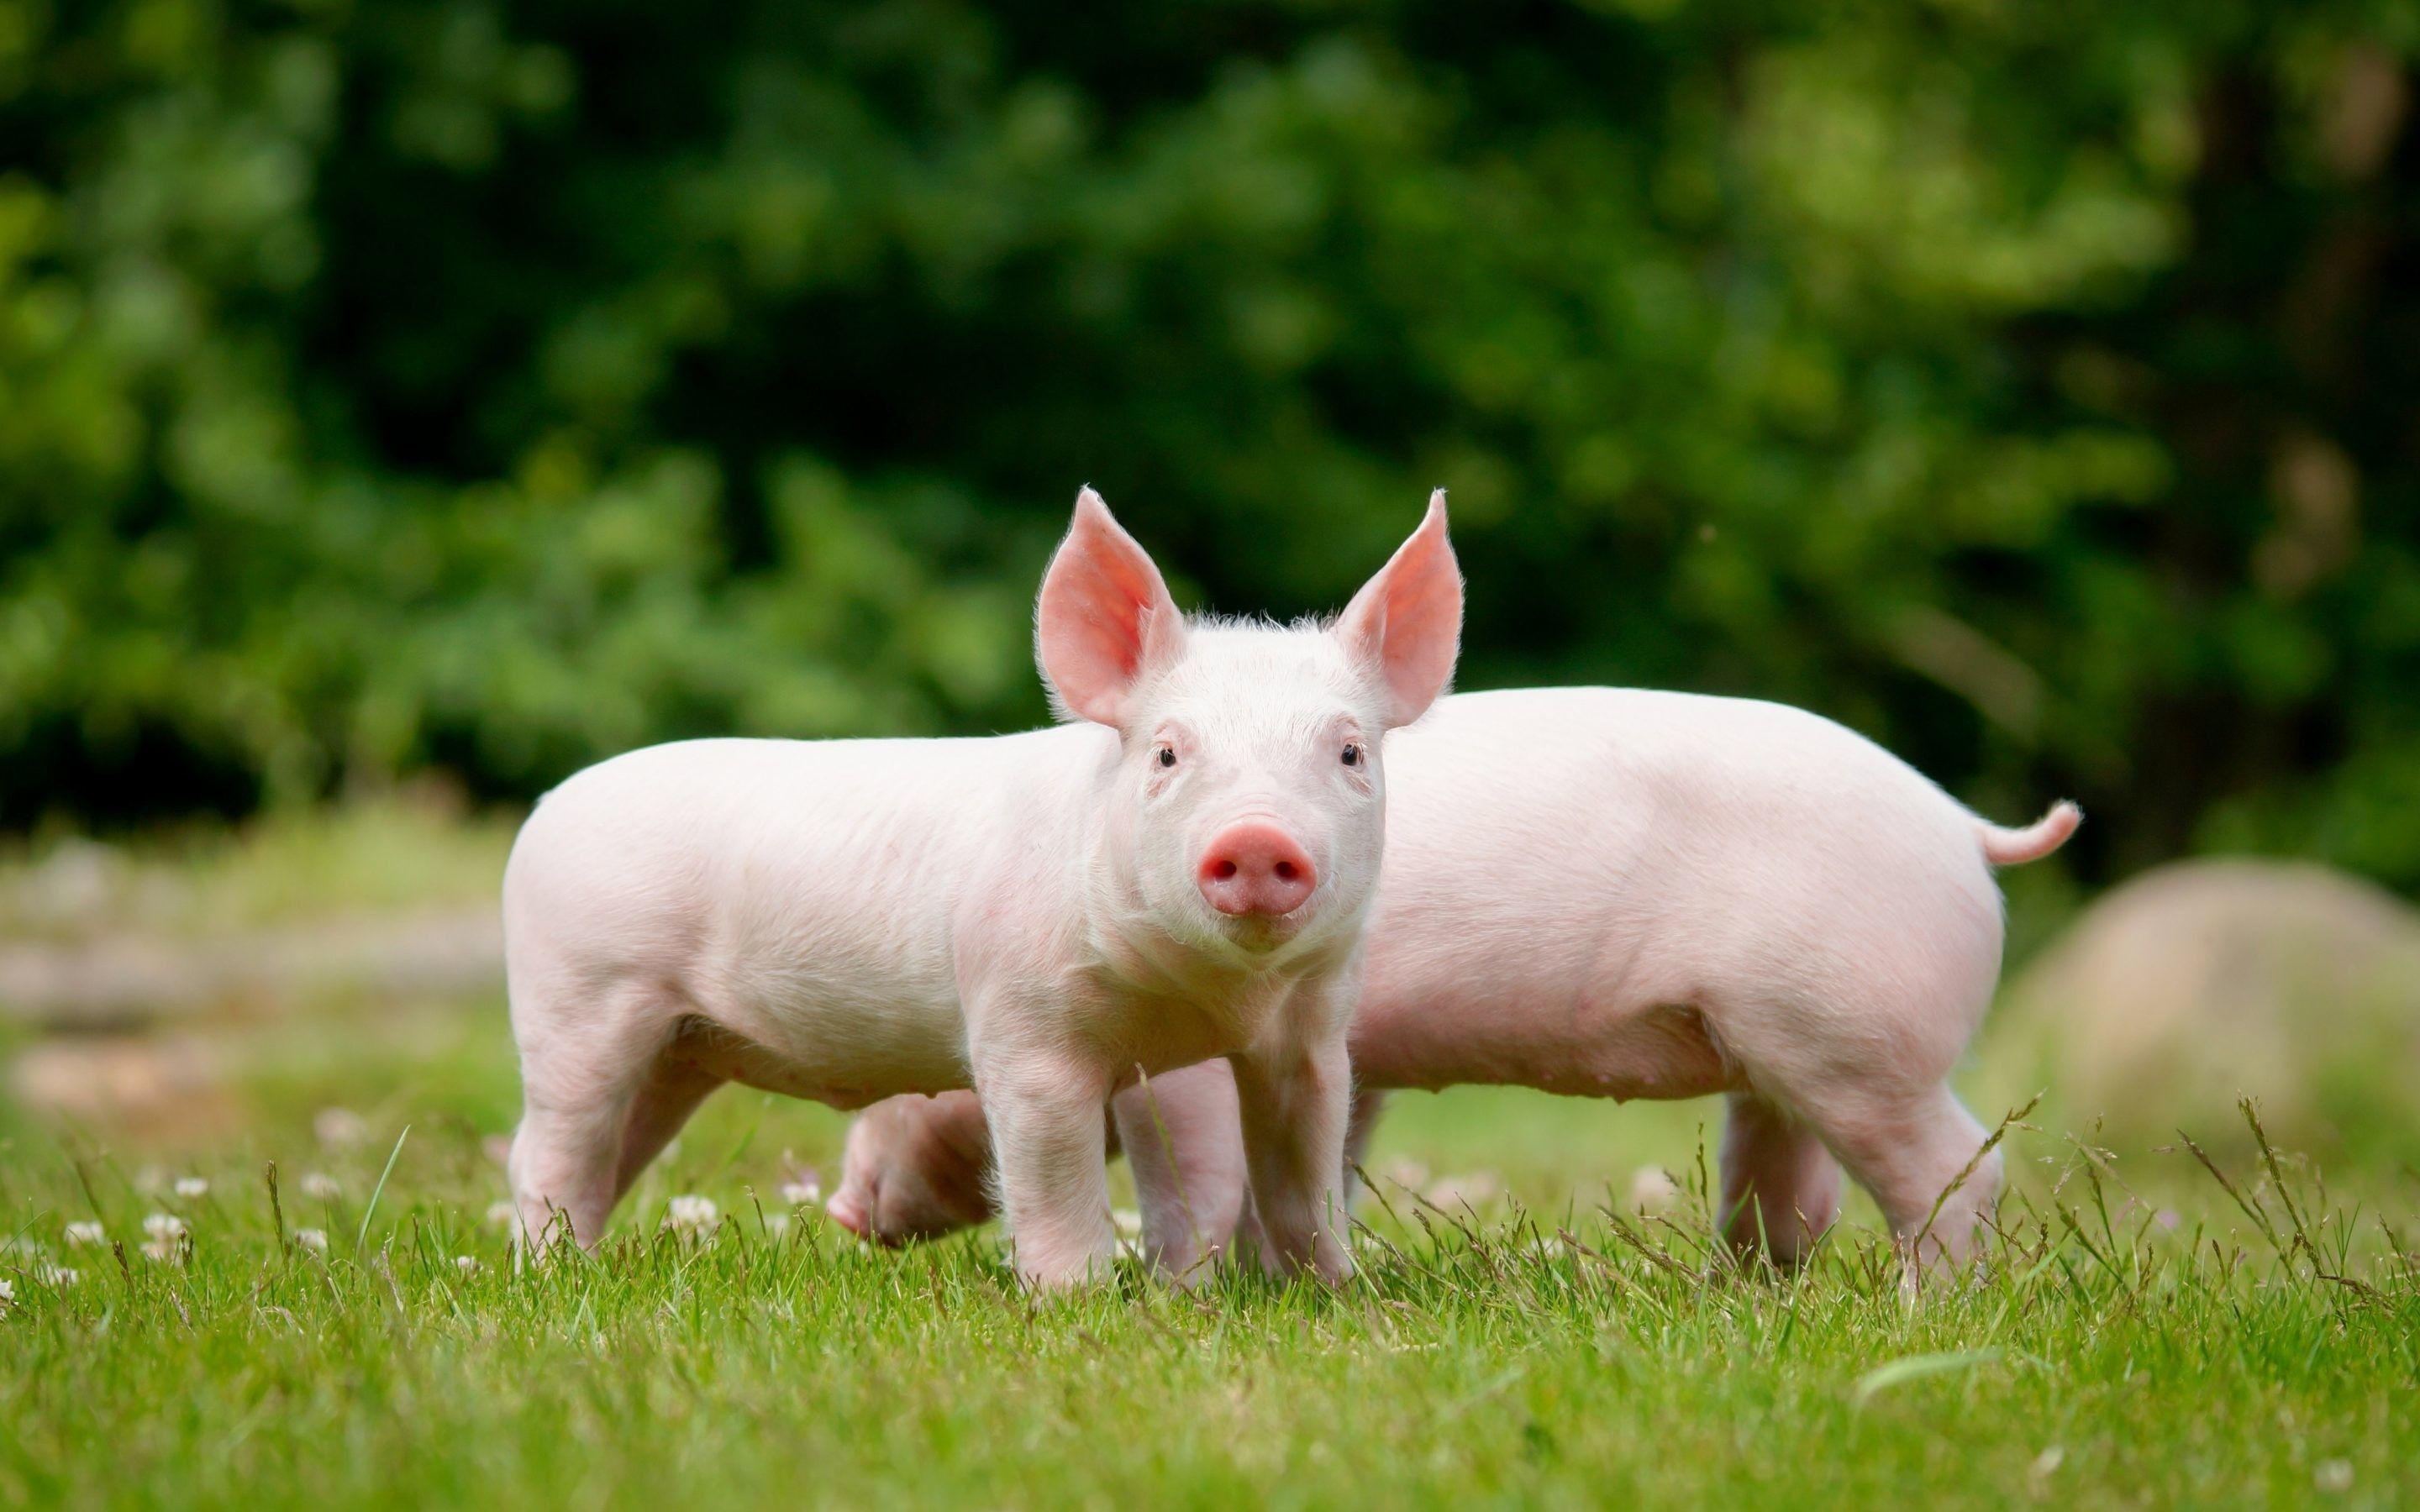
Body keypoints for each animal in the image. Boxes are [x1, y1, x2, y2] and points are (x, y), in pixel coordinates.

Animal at [500, 488, 1463, 1287]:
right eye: (1166, 753)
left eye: (1350, 752)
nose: (1258, 838)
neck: (1213, 999)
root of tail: (545, 808)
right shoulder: (1022, 1024)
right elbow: (1054, 1181)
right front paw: (1077, 1302)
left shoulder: (1314, 1030)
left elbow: (1306, 1178)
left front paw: (1336, 1293)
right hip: (578, 999)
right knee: (544, 1148)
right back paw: (552, 1275)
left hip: (677, 1049)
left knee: (607, 1150)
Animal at [828, 688, 2080, 1274]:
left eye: (933, 1080)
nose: (843, 1209)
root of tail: (1967, 829)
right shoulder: (1350, 1059)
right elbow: (1325, 1158)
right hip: (1782, 1050)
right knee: (1791, 1191)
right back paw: (1737, 1292)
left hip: (1862, 1035)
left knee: (1956, 1170)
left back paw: (1926, 1308)